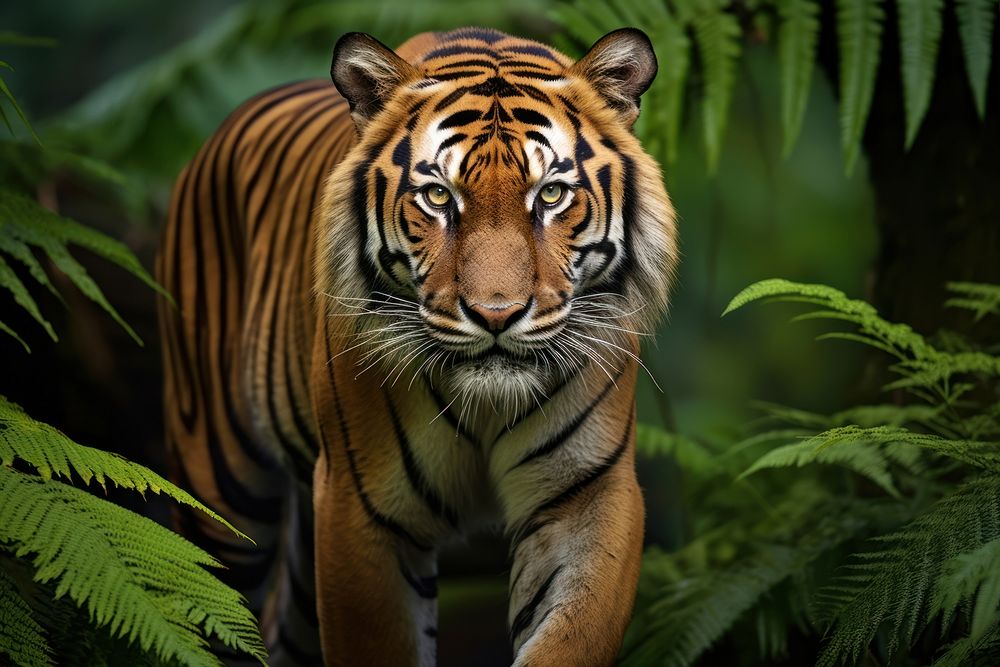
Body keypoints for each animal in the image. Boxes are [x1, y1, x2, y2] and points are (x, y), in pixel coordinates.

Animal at [157, 25, 677, 667]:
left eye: (552, 194)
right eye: (438, 198)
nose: (496, 314)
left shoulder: (587, 496)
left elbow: (568, 638)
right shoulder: (362, 508)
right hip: (218, 490)